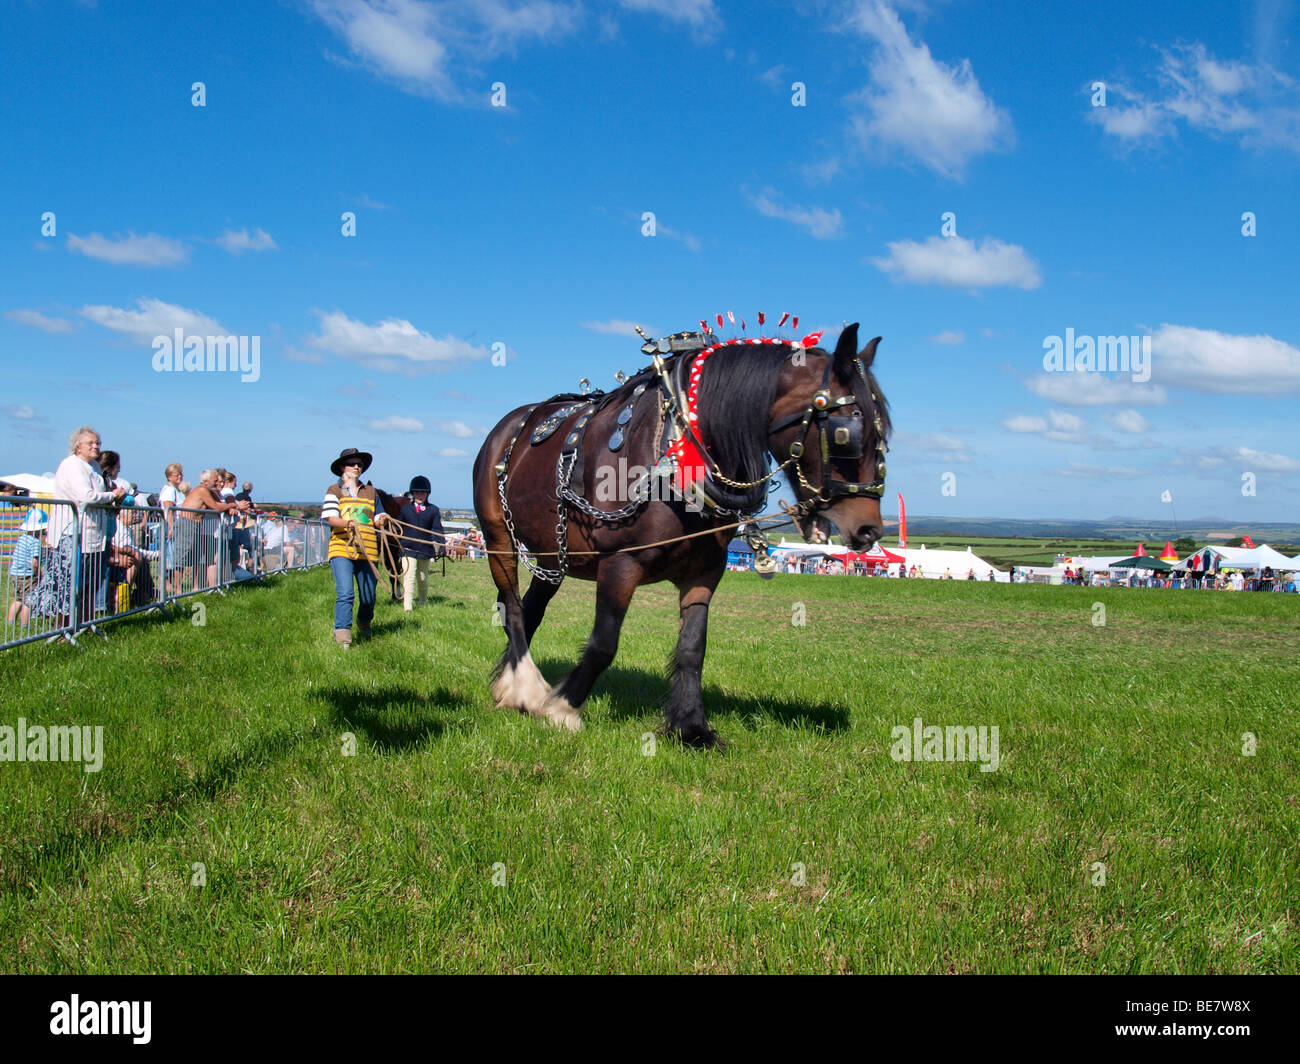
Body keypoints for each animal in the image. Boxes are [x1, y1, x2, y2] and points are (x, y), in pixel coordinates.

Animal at [472, 323, 891, 748]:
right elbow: (604, 643)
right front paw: (563, 707)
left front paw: (691, 727)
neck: (673, 452)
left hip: (552, 554)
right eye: (847, 433)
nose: (868, 529)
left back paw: (509, 684)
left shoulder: (705, 571)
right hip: (498, 538)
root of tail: (509, 425)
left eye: (883, 434)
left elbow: (693, 648)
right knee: (514, 609)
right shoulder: (621, 563)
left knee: (532, 608)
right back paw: (526, 687)